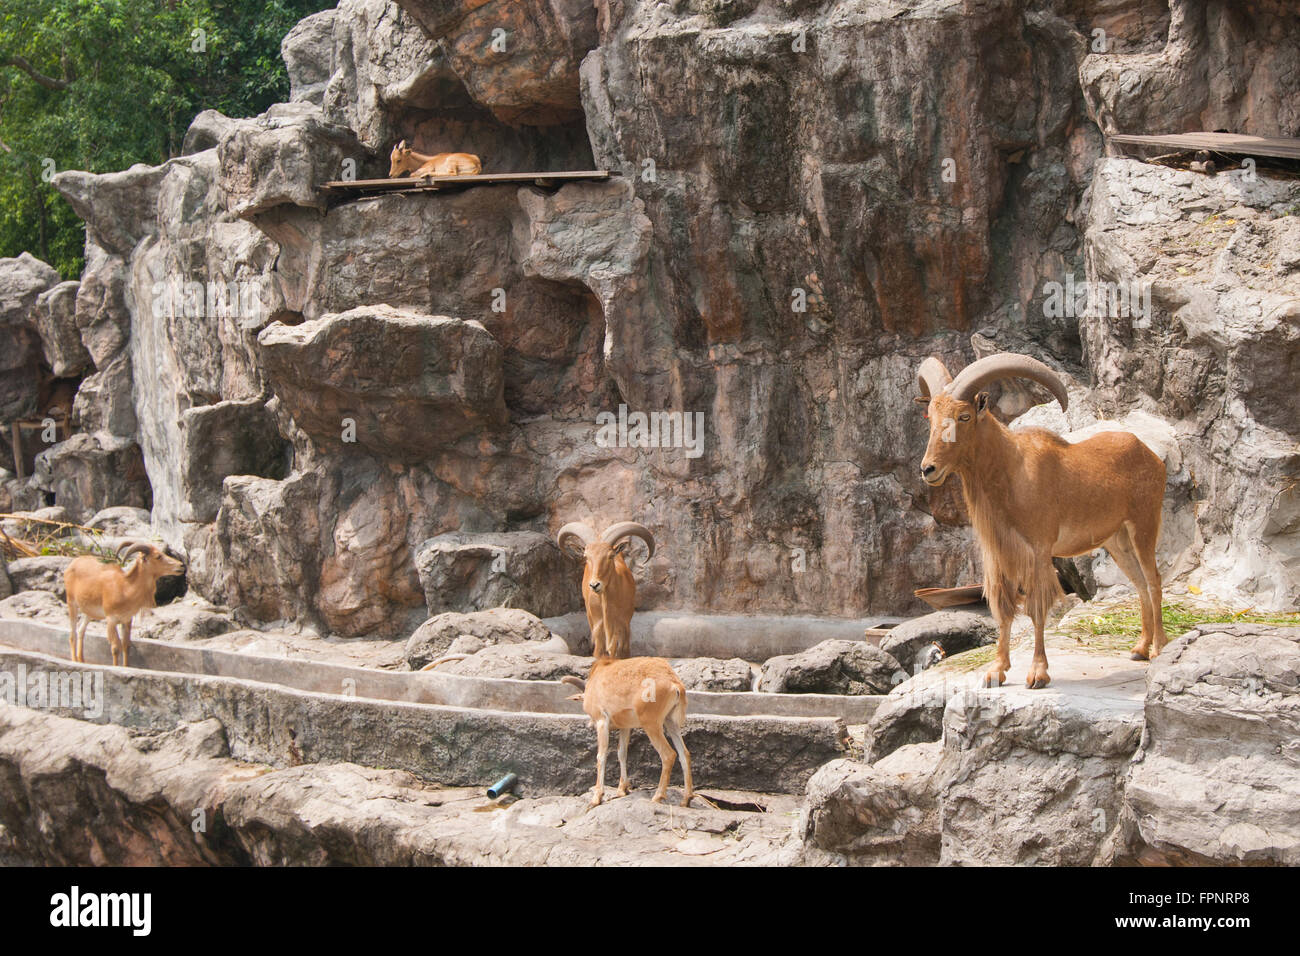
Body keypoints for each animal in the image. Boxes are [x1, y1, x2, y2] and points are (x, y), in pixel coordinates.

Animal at [556, 521, 655, 659]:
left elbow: (622, 650)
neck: (607, 601)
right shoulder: (598, 624)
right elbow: (599, 651)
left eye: (610, 556)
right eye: (586, 557)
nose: (594, 585)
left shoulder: (623, 623)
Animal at [561, 656, 694, 808]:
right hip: (670, 722)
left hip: (651, 724)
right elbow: (622, 753)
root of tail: (675, 684)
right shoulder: (625, 727)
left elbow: (601, 756)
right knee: (684, 754)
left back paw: (657, 797)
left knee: (668, 755)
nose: (589, 724)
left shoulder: (602, 721)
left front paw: (596, 798)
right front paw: (622, 789)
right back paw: (686, 799)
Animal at [916, 352, 1167, 689]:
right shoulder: (1000, 556)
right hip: (1118, 540)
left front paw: (1037, 673)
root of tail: (1149, 454)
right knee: (1139, 582)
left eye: (964, 416)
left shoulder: (1037, 551)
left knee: (1154, 580)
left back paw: (1159, 648)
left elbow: (1036, 609)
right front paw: (996, 670)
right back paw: (1140, 647)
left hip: (1144, 524)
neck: (1011, 470)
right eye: (930, 417)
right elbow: (1004, 609)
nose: (928, 469)